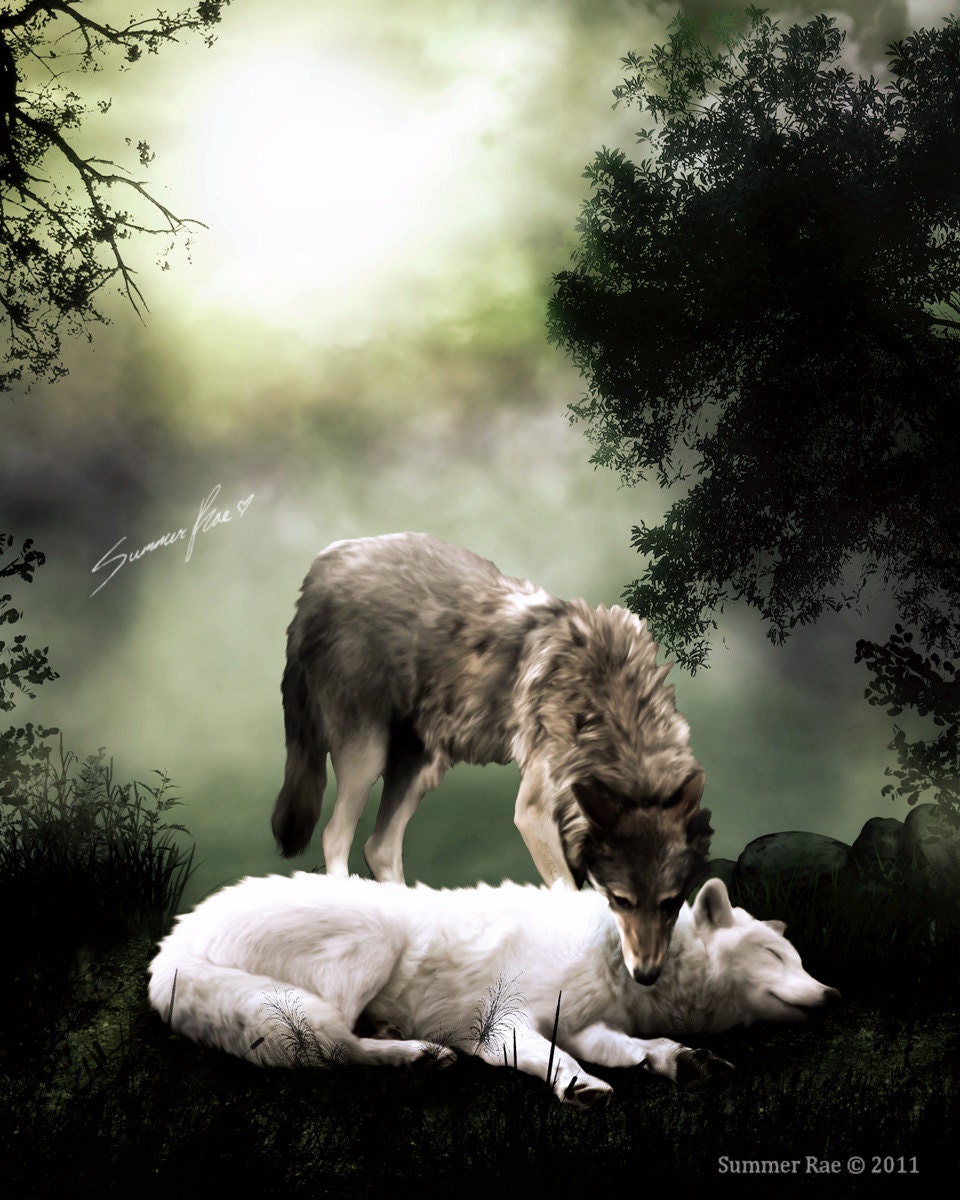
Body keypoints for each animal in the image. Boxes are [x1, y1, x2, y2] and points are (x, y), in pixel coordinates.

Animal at [148, 874, 839, 1108]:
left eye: (800, 959)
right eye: (775, 954)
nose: (832, 995)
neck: (619, 957)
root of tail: (176, 939)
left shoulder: (590, 1024)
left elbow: (639, 1048)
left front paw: (683, 1059)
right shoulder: (503, 1024)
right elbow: (555, 1058)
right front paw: (579, 1087)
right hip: (371, 941)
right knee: (335, 1046)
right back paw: (414, 1055)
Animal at [271, 532, 711, 984]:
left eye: (670, 902)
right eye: (622, 900)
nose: (647, 974)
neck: (608, 710)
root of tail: (325, 564)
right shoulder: (533, 813)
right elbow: (567, 894)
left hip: (421, 768)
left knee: (379, 847)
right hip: (368, 756)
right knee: (335, 836)